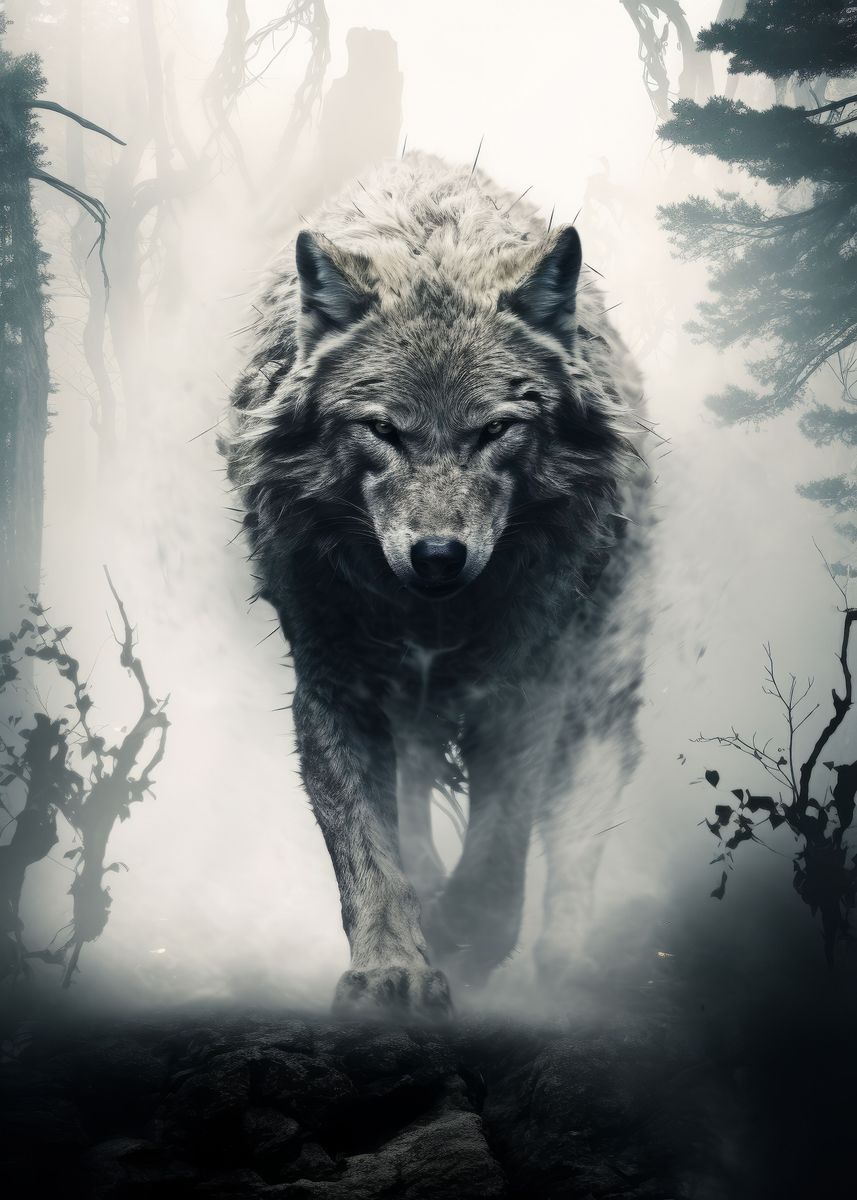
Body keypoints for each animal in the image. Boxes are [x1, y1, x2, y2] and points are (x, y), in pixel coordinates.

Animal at [222, 153, 651, 1018]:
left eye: (496, 429)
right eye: (383, 429)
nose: (437, 555)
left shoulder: (526, 687)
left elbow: (497, 852)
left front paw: (466, 938)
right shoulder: (334, 684)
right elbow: (369, 854)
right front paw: (394, 968)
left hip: (596, 698)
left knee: (574, 836)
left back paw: (568, 971)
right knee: (415, 808)